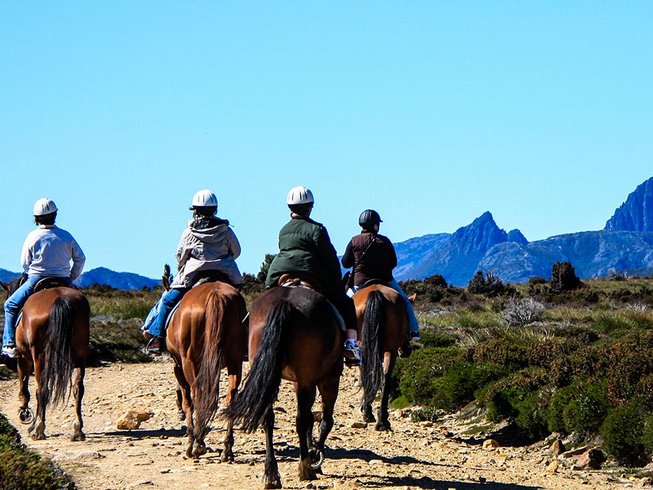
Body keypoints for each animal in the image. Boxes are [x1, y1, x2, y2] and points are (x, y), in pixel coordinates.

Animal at [1, 277, 90, 441]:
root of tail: (61, 298)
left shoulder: (23, 358)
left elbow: (24, 388)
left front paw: (25, 415)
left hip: (39, 356)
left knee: (42, 390)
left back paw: (38, 429)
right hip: (79, 354)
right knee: (77, 388)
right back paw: (77, 430)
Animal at [165, 280, 248, 461]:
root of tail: (216, 294)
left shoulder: (178, 367)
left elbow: (187, 401)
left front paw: (192, 440)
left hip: (190, 362)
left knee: (197, 396)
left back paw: (196, 443)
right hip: (234, 360)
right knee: (231, 397)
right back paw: (227, 448)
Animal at [223, 284, 343, 489]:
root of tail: (284, 304)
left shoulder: (297, 381)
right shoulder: (328, 379)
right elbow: (325, 421)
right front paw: (314, 455)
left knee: (268, 418)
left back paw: (271, 473)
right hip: (309, 379)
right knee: (302, 419)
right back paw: (305, 468)